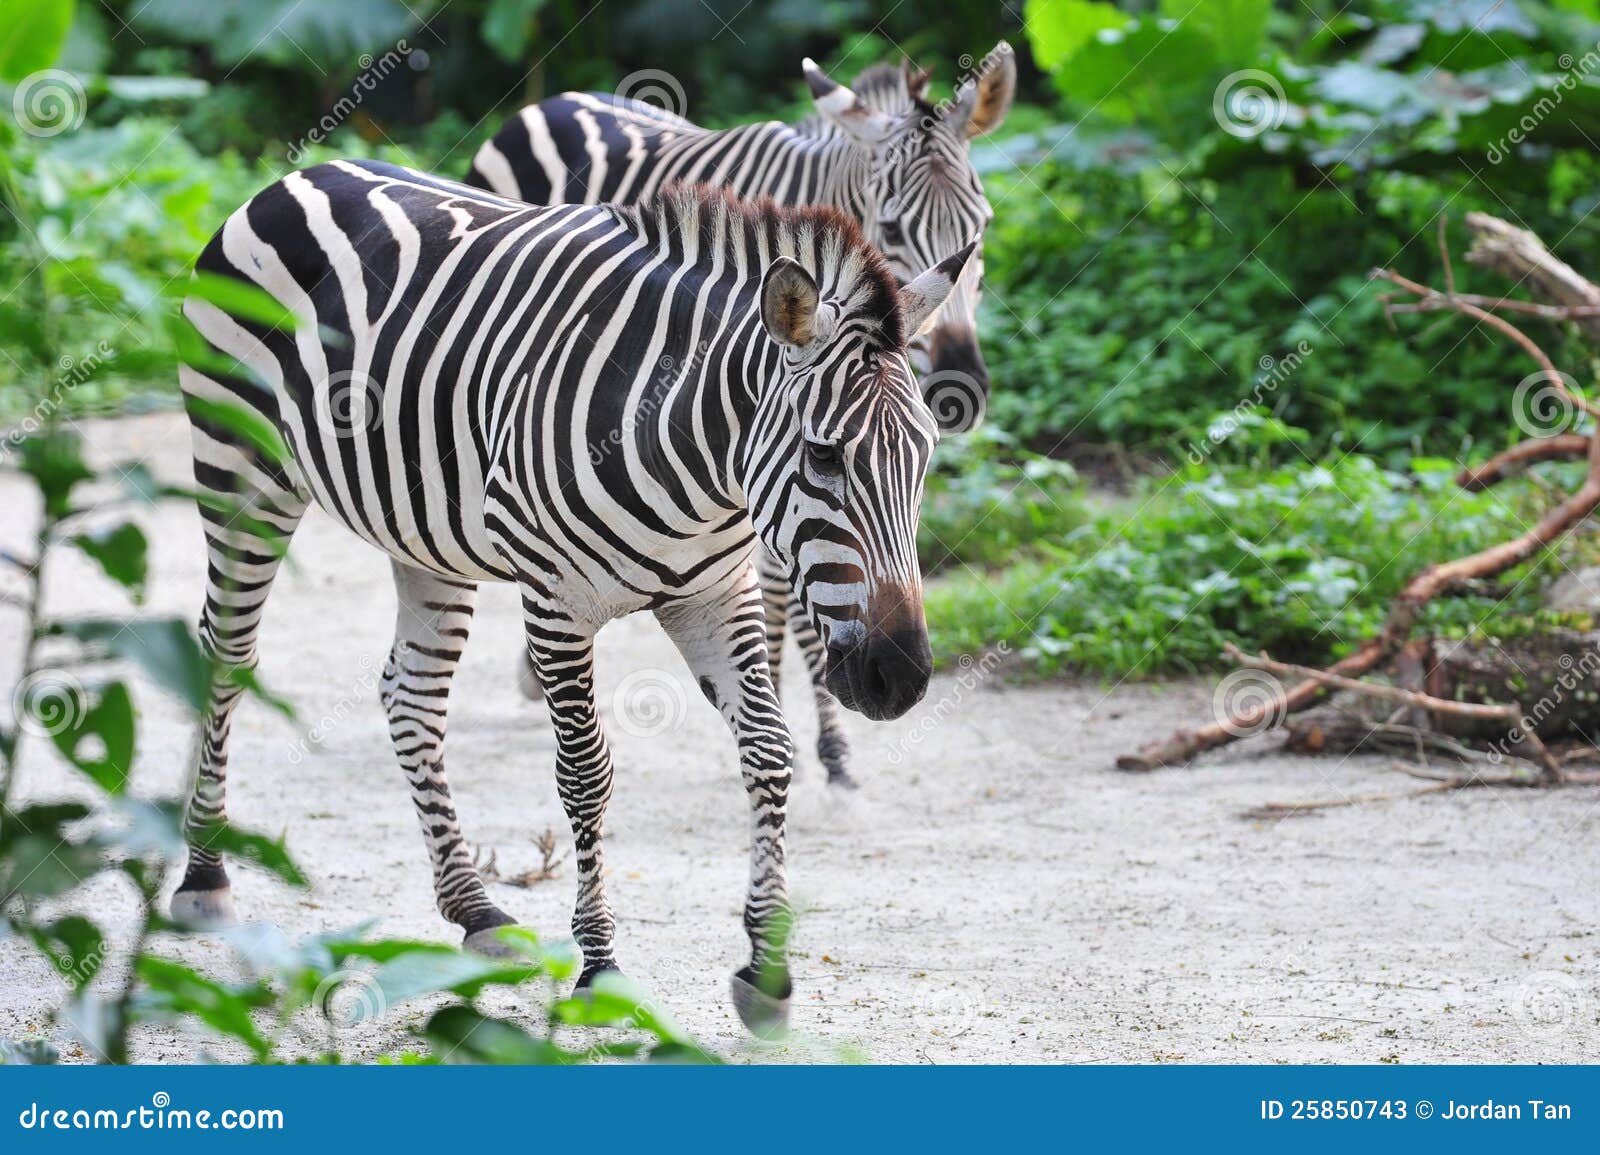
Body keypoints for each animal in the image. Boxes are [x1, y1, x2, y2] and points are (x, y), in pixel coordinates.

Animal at [170, 159, 971, 1032]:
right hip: (242, 477)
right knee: (225, 654)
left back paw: (475, 909)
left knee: (409, 694)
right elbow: (585, 773)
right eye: (825, 457)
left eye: (926, 458)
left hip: (424, 536)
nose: (901, 679)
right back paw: (202, 876)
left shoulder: (713, 594)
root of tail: (301, 173)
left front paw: (766, 967)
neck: (698, 460)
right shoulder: (555, 604)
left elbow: (767, 748)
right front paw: (600, 965)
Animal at [468, 47, 1015, 789]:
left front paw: (825, 742)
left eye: (980, 225)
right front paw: (802, 730)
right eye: (894, 228)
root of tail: (557, 99)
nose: (963, 388)